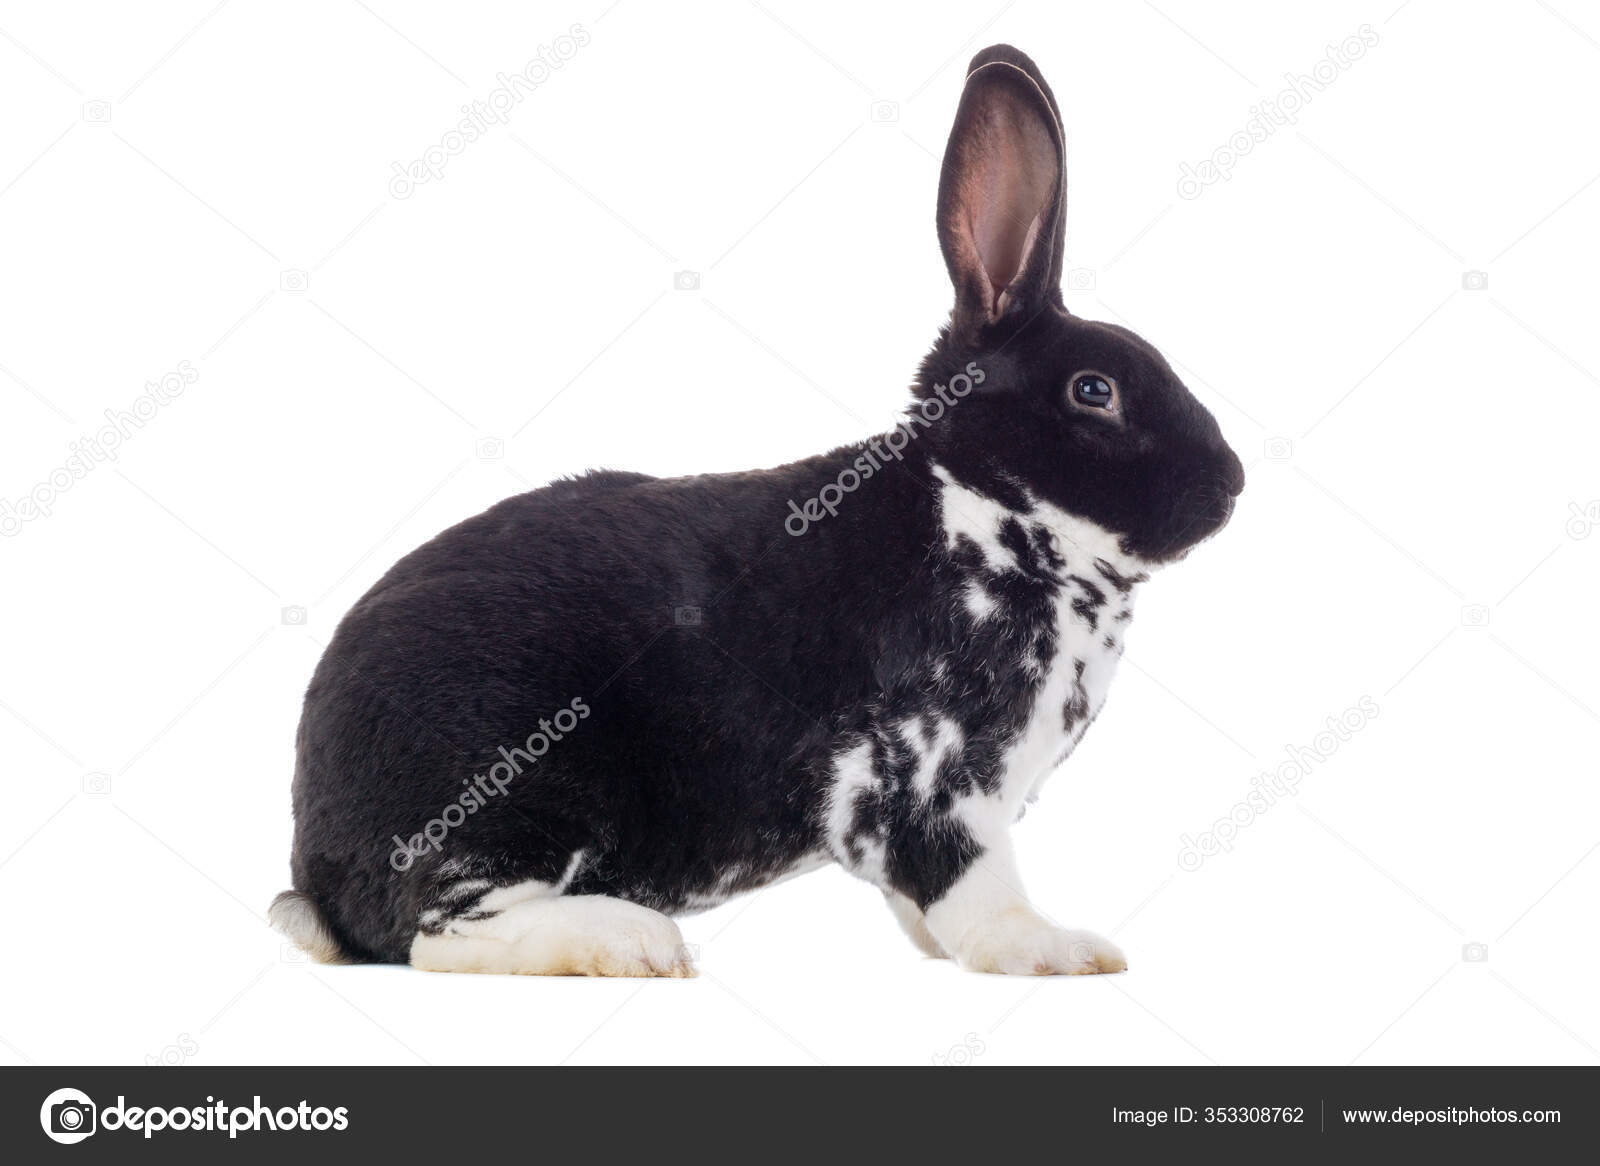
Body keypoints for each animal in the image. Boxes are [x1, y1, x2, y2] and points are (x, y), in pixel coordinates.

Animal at [270, 43, 1243, 978]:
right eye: (1095, 391)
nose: (1230, 484)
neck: (988, 507)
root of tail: (319, 876)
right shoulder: (926, 774)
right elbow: (970, 883)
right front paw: (1055, 953)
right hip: (517, 781)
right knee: (441, 932)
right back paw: (633, 945)